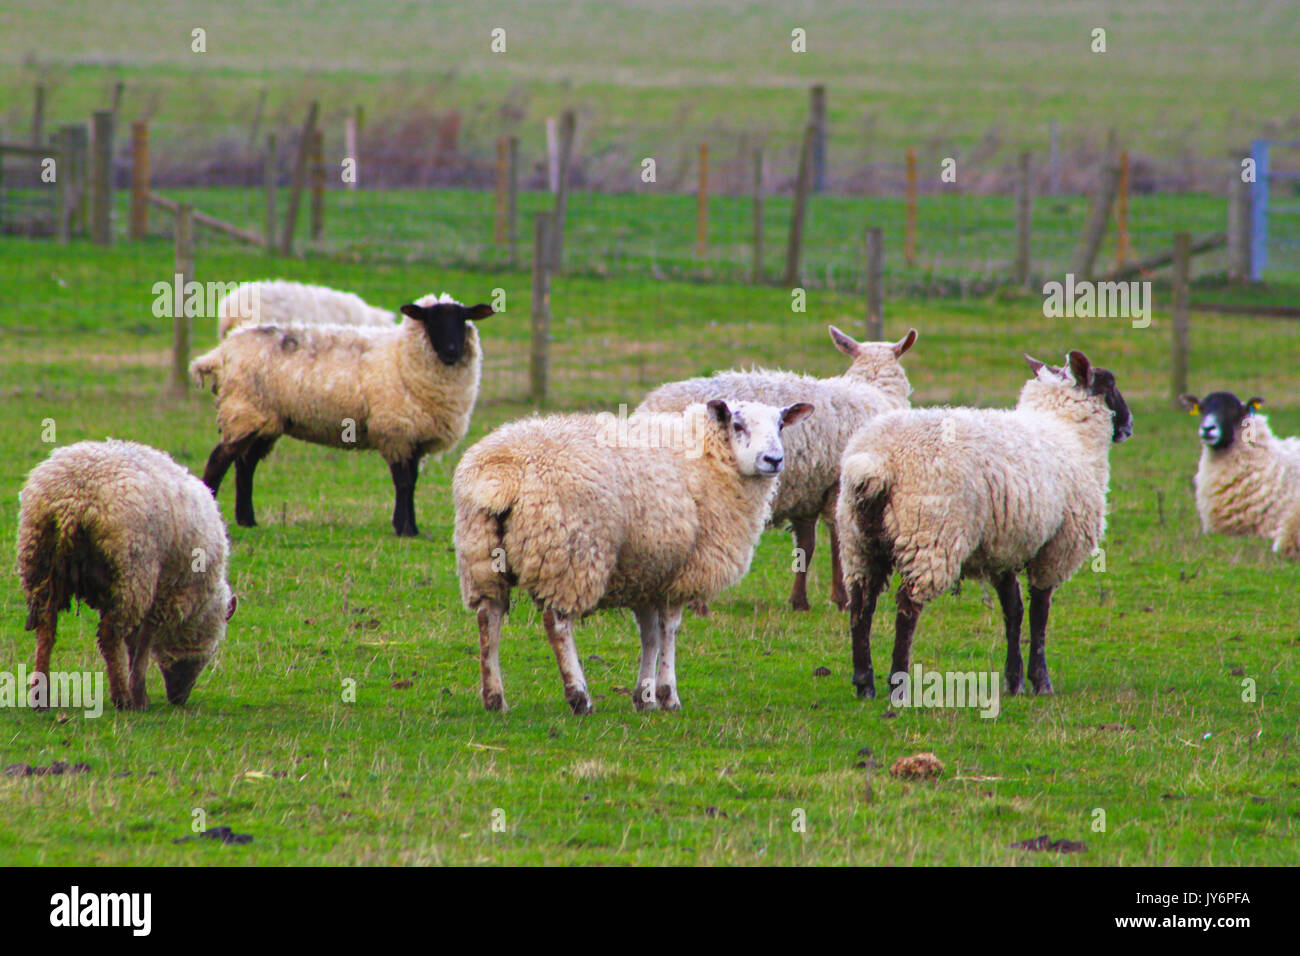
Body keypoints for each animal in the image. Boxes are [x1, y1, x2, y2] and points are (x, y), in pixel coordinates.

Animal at [16, 440, 237, 710]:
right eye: (213, 649)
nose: (179, 699)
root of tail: (74, 499)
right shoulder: (163, 595)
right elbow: (143, 644)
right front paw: (140, 694)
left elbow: (133, 641)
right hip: (133, 572)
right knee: (109, 635)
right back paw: (122, 698)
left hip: (39, 560)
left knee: (46, 628)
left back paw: (41, 698)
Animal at [190, 294, 492, 537]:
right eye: (432, 321)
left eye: (463, 320)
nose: (452, 351)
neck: (402, 357)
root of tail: (222, 352)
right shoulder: (395, 432)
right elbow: (404, 483)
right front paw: (403, 528)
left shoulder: (414, 438)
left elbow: (413, 483)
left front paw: (413, 527)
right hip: (244, 411)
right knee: (219, 460)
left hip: (264, 418)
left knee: (245, 463)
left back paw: (247, 520)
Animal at [453, 398, 814, 715]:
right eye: (738, 425)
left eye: (781, 425)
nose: (773, 460)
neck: (711, 457)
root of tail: (504, 471)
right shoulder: (681, 571)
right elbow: (669, 629)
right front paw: (668, 695)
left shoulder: (646, 571)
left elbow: (649, 635)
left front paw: (645, 696)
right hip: (570, 552)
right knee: (556, 622)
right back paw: (579, 697)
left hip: (480, 554)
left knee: (488, 617)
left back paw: (495, 698)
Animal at [638, 326, 917, 611]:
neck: (875, 391)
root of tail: (647, 407)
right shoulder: (837, 487)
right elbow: (837, 542)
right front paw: (842, 599)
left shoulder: (807, 494)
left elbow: (807, 546)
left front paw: (799, 601)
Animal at [836, 350, 1133, 700]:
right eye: (1109, 383)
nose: (1128, 424)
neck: (1069, 434)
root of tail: (877, 462)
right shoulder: (1056, 549)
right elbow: (1040, 612)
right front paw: (1040, 681)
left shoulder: (1002, 548)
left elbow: (1013, 610)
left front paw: (1014, 680)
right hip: (930, 536)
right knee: (907, 607)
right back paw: (899, 684)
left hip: (857, 542)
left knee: (861, 606)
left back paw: (864, 683)